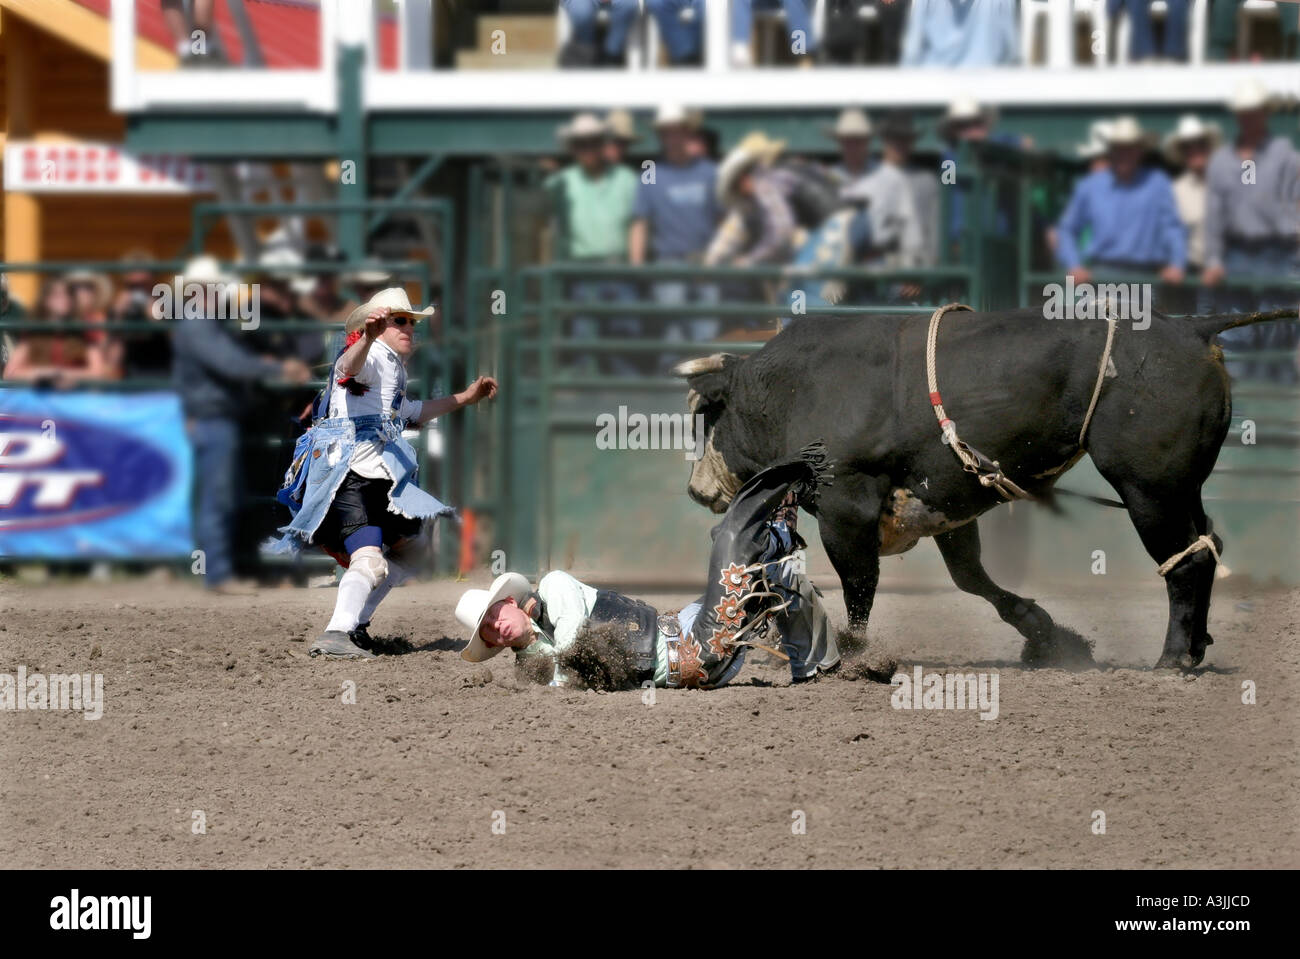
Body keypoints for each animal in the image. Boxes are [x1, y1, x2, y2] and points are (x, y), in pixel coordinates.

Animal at [675, 306, 1298, 669]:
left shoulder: (846, 505)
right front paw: (1046, 637)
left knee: (1185, 561)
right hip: (1183, 486)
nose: (696, 489)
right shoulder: (946, 502)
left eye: (709, 418)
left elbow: (859, 583)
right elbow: (971, 578)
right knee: (1205, 548)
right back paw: (1195, 647)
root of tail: (1192, 328)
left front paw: (854, 652)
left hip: (1149, 488)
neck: (793, 388)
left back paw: (1171, 659)